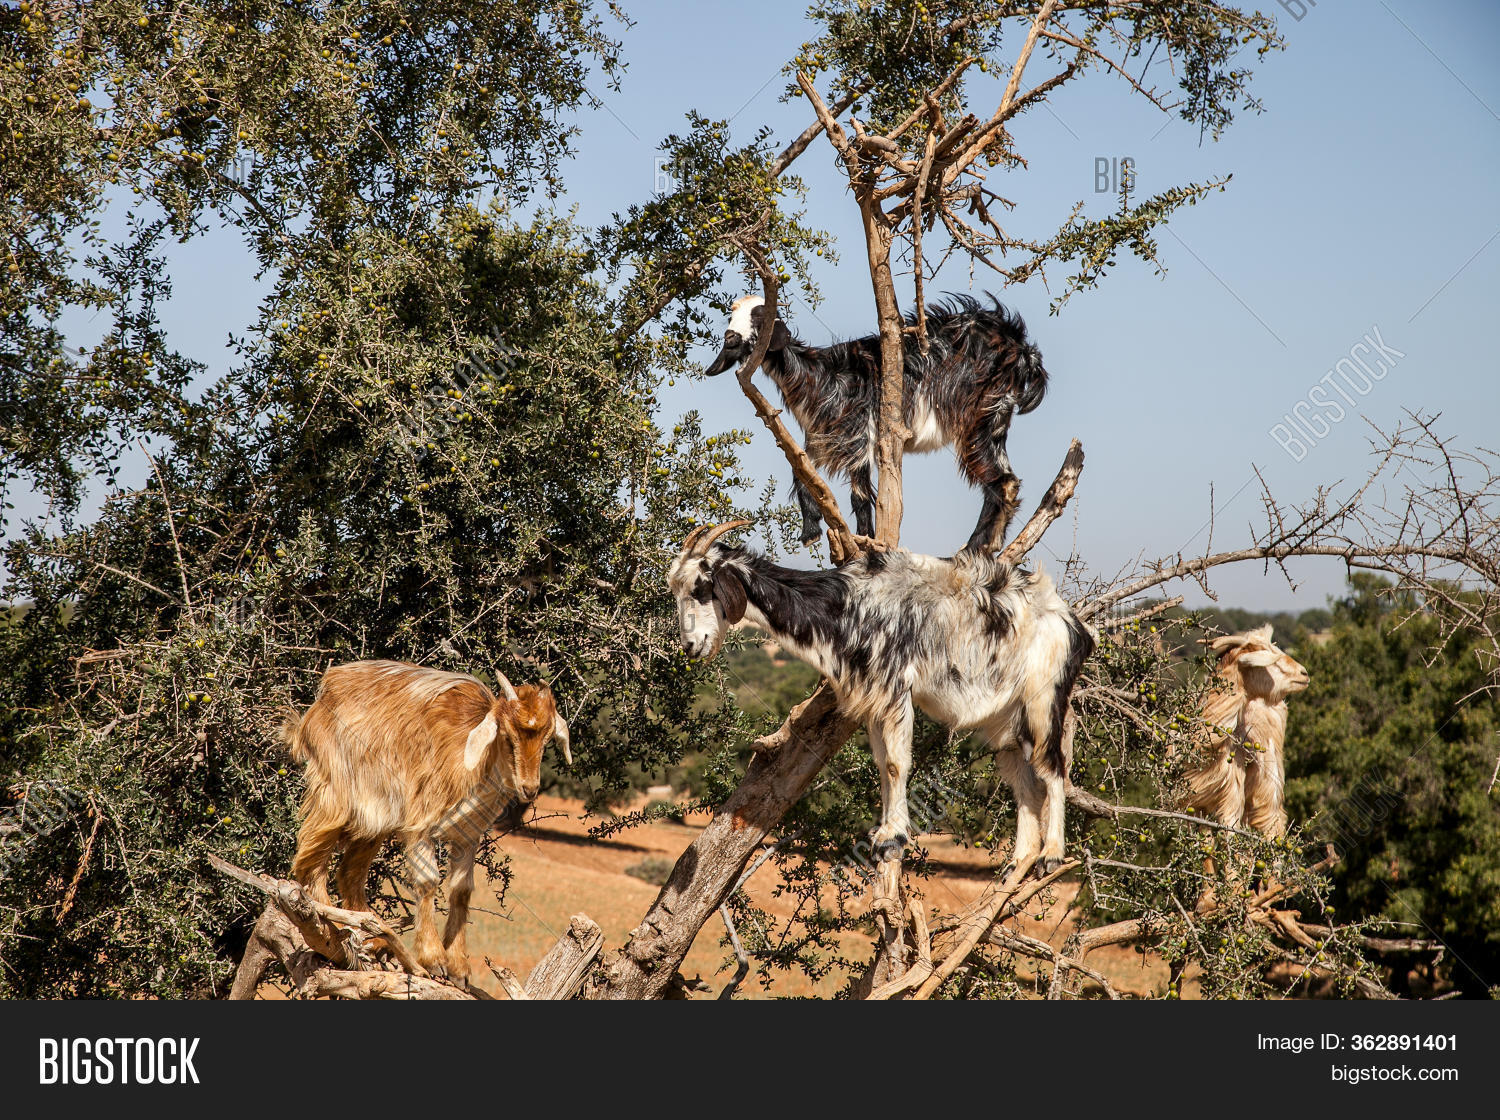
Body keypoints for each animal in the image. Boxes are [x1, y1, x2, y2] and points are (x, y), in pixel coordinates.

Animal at [286, 659, 571, 979]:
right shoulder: (420, 824)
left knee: (350, 872)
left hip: (375, 821)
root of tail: (323, 695)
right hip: (335, 797)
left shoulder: (468, 834)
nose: (529, 788)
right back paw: (336, 931)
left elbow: (461, 889)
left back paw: (374, 938)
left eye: (547, 739)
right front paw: (434, 958)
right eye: (508, 737)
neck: (468, 761)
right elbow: (428, 881)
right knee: (310, 861)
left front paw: (459, 966)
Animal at [669, 520, 1094, 875]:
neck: (847, 604)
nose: (690, 645)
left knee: (1053, 769)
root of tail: (1073, 625)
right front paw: (882, 834)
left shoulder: (895, 689)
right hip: (1006, 719)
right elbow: (881, 765)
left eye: (701, 587)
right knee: (1025, 781)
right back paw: (1020, 860)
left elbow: (895, 763)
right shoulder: (873, 700)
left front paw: (894, 838)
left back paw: (1052, 855)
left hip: (1043, 700)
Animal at [704, 294, 1048, 553]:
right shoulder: (819, 440)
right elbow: (802, 476)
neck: (821, 377)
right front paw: (814, 530)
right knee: (1007, 481)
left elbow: (858, 496)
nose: (730, 339)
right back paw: (988, 547)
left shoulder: (858, 436)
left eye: (760, 316)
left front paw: (865, 541)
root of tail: (1021, 348)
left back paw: (974, 548)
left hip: (980, 414)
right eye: (731, 318)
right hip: (996, 420)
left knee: (1000, 482)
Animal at [1182, 626, 1309, 837]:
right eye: (1271, 660)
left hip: (1270, 778)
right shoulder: (1194, 804)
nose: (1304, 673)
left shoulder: (1231, 796)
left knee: (1272, 819)